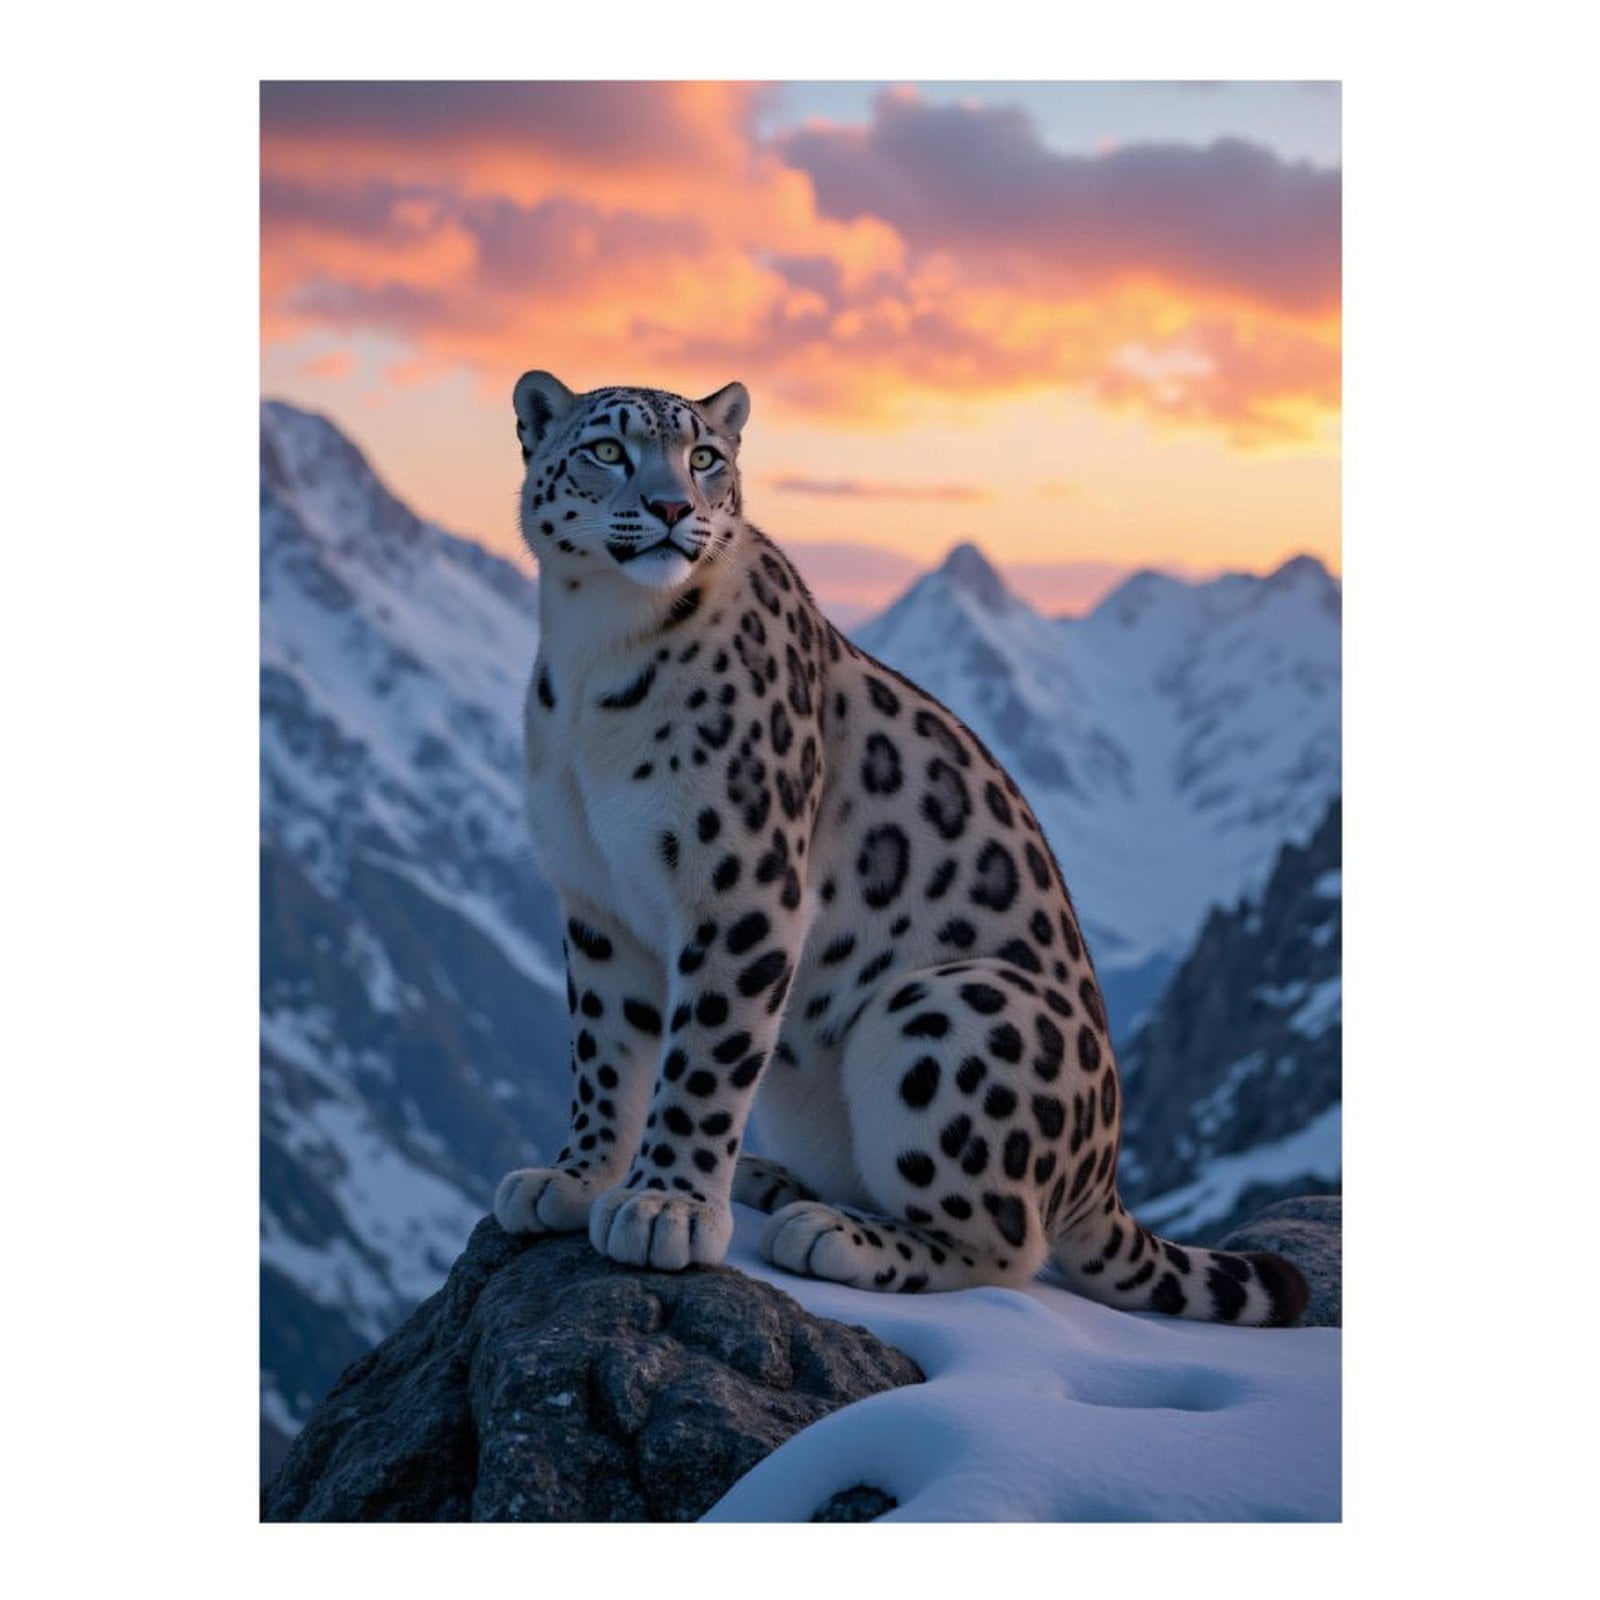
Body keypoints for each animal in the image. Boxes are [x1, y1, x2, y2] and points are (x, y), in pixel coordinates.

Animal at [493, 371, 1308, 1327]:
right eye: (606, 449)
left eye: (705, 458)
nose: (670, 507)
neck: (597, 651)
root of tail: (1100, 1181)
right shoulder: (597, 900)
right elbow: (604, 1053)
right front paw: (576, 1179)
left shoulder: (740, 884)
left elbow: (704, 1059)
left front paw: (667, 1208)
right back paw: (774, 1180)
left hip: (947, 1011)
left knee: (1006, 1242)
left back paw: (827, 1232)